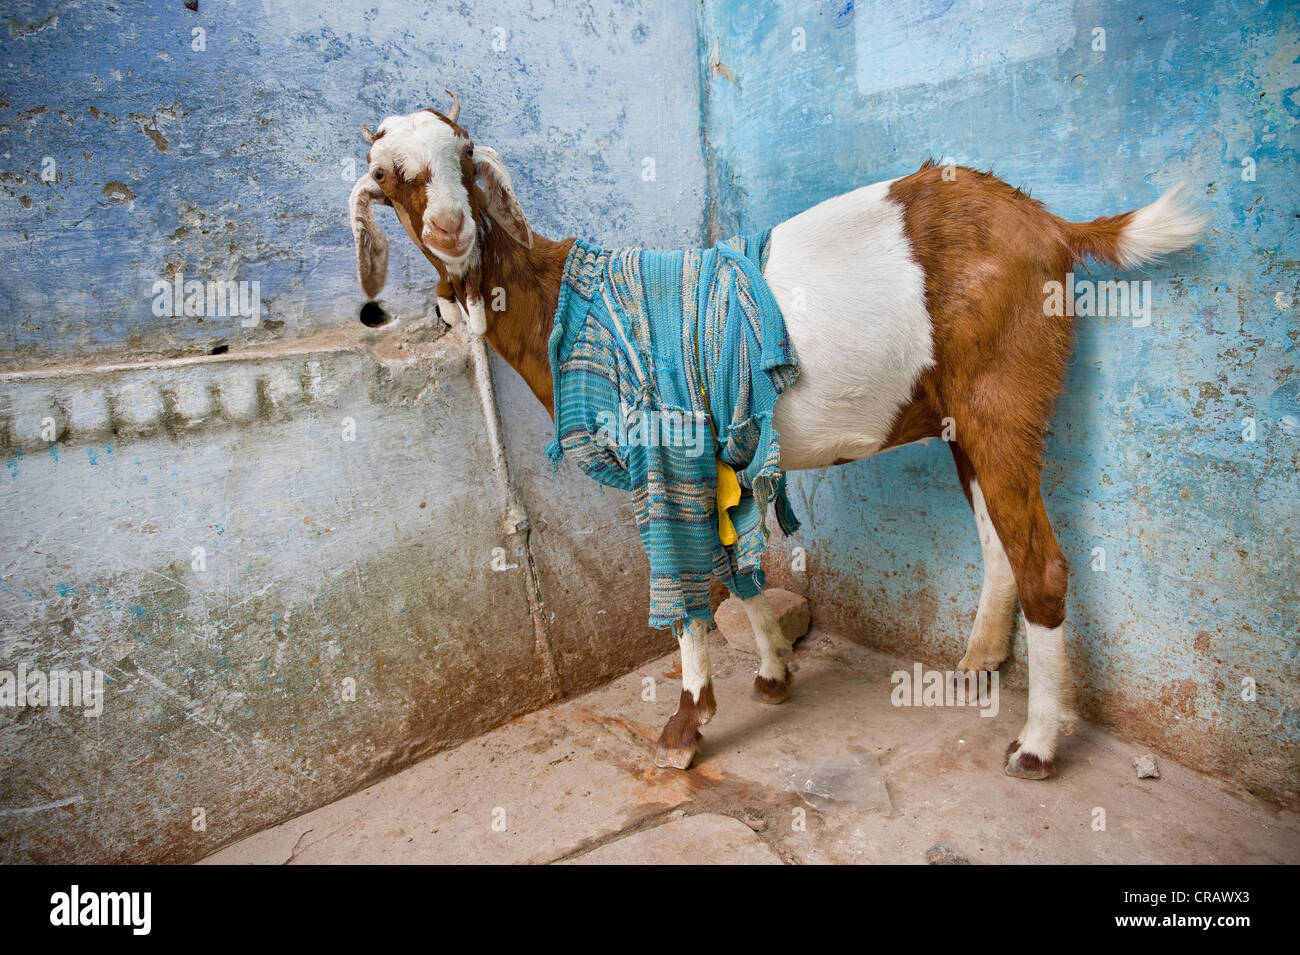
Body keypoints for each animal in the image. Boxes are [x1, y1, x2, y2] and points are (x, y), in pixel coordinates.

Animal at [348, 93, 1208, 779]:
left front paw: (686, 724)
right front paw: (772, 670)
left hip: (1003, 390)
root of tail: (1053, 225)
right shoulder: (717, 456)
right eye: (387, 174)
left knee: (1044, 565)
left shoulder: (669, 454)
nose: (452, 229)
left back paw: (1035, 745)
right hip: (963, 415)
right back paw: (977, 665)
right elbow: (737, 567)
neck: (568, 299)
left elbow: (691, 589)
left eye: (464, 154)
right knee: (1000, 541)